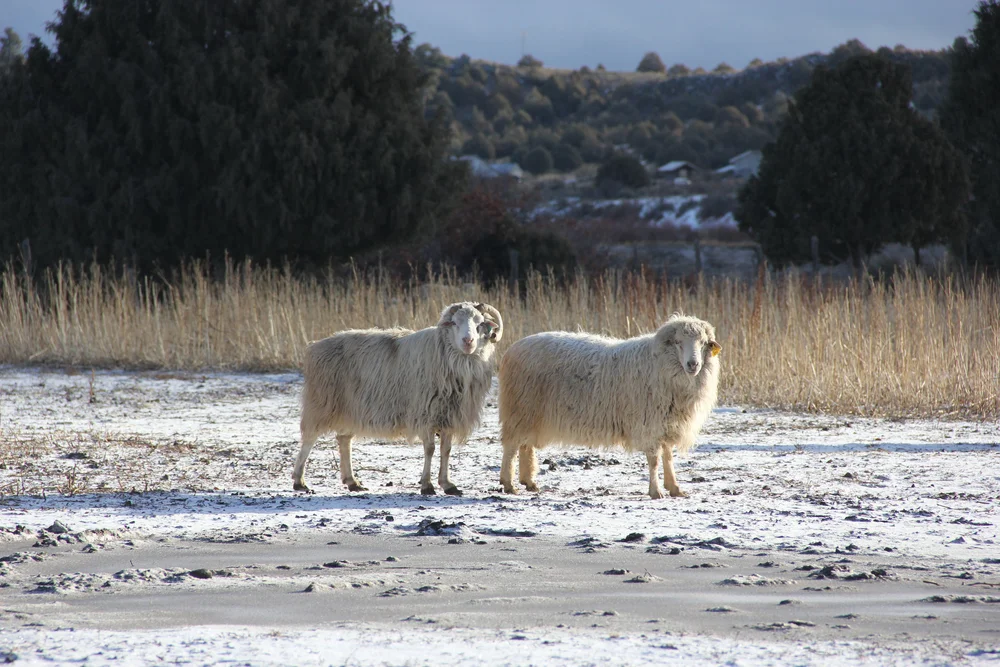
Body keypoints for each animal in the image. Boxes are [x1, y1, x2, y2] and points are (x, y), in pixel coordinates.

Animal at [293, 301, 503, 496]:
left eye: (479, 323)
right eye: (454, 323)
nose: (468, 341)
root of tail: (314, 347)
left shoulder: (448, 415)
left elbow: (446, 450)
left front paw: (447, 484)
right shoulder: (424, 413)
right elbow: (430, 449)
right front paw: (427, 485)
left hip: (352, 408)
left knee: (344, 440)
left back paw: (352, 482)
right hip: (321, 402)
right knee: (309, 438)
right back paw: (299, 481)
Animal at [498, 314, 721, 499]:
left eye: (703, 343)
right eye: (677, 342)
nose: (693, 364)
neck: (662, 366)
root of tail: (513, 347)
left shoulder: (667, 423)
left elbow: (668, 457)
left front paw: (674, 487)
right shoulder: (649, 424)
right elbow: (655, 460)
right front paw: (656, 491)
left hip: (530, 413)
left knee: (526, 445)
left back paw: (529, 482)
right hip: (519, 408)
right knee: (511, 447)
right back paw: (509, 484)